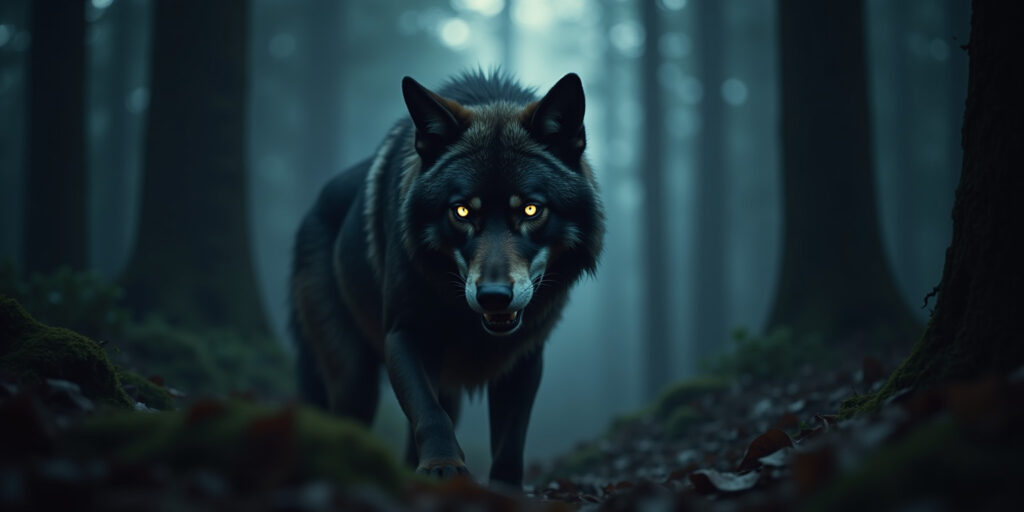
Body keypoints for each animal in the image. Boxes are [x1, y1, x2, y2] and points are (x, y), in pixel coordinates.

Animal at [289, 70, 604, 487]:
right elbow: (429, 414)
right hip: (354, 380)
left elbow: (510, 440)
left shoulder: (524, 356)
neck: (467, 322)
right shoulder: (403, 334)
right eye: (462, 211)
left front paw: (505, 490)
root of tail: (312, 208)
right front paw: (443, 466)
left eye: (531, 210)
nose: (493, 296)